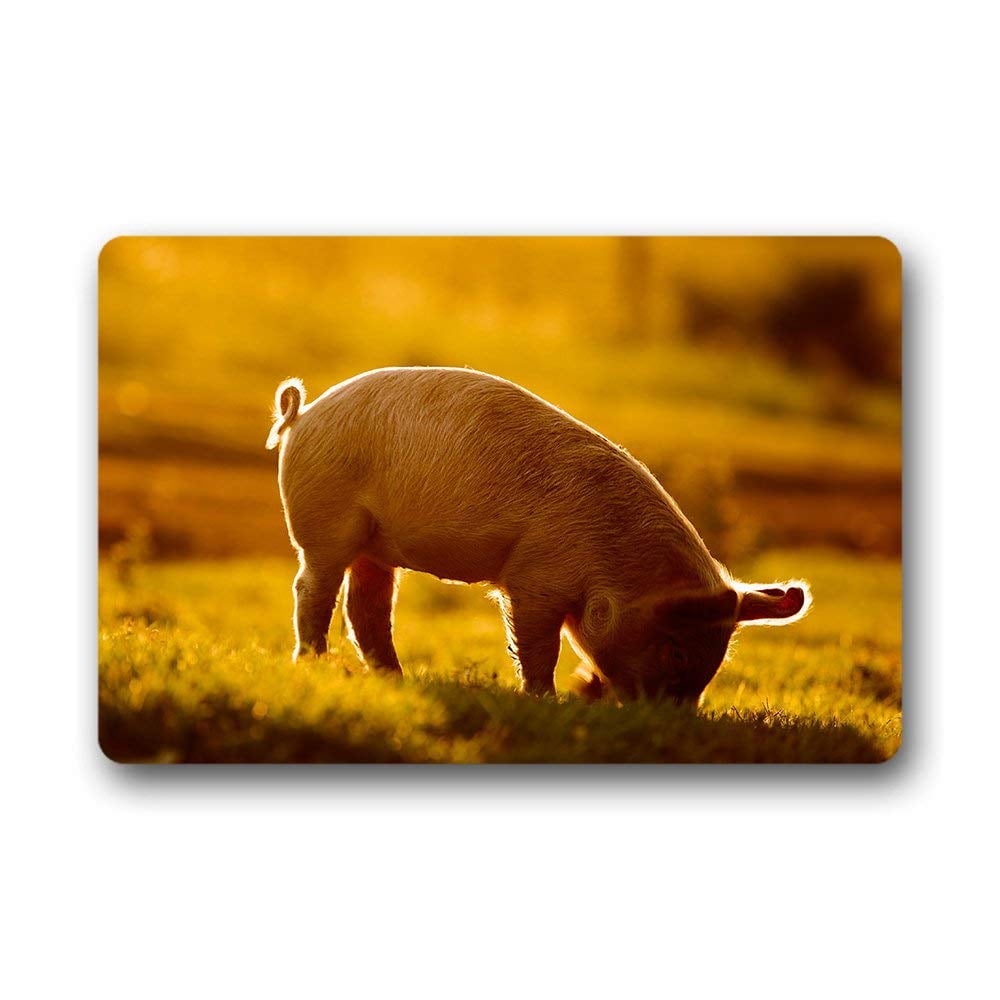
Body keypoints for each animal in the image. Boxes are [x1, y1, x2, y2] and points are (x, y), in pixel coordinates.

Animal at [266, 367, 811, 705]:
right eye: (675, 651)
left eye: (715, 662)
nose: (673, 719)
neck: (612, 560)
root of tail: (302, 416)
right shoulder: (535, 578)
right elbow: (537, 645)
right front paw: (545, 699)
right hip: (326, 521)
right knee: (311, 588)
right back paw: (313, 664)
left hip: (376, 548)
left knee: (368, 608)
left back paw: (396, 679)